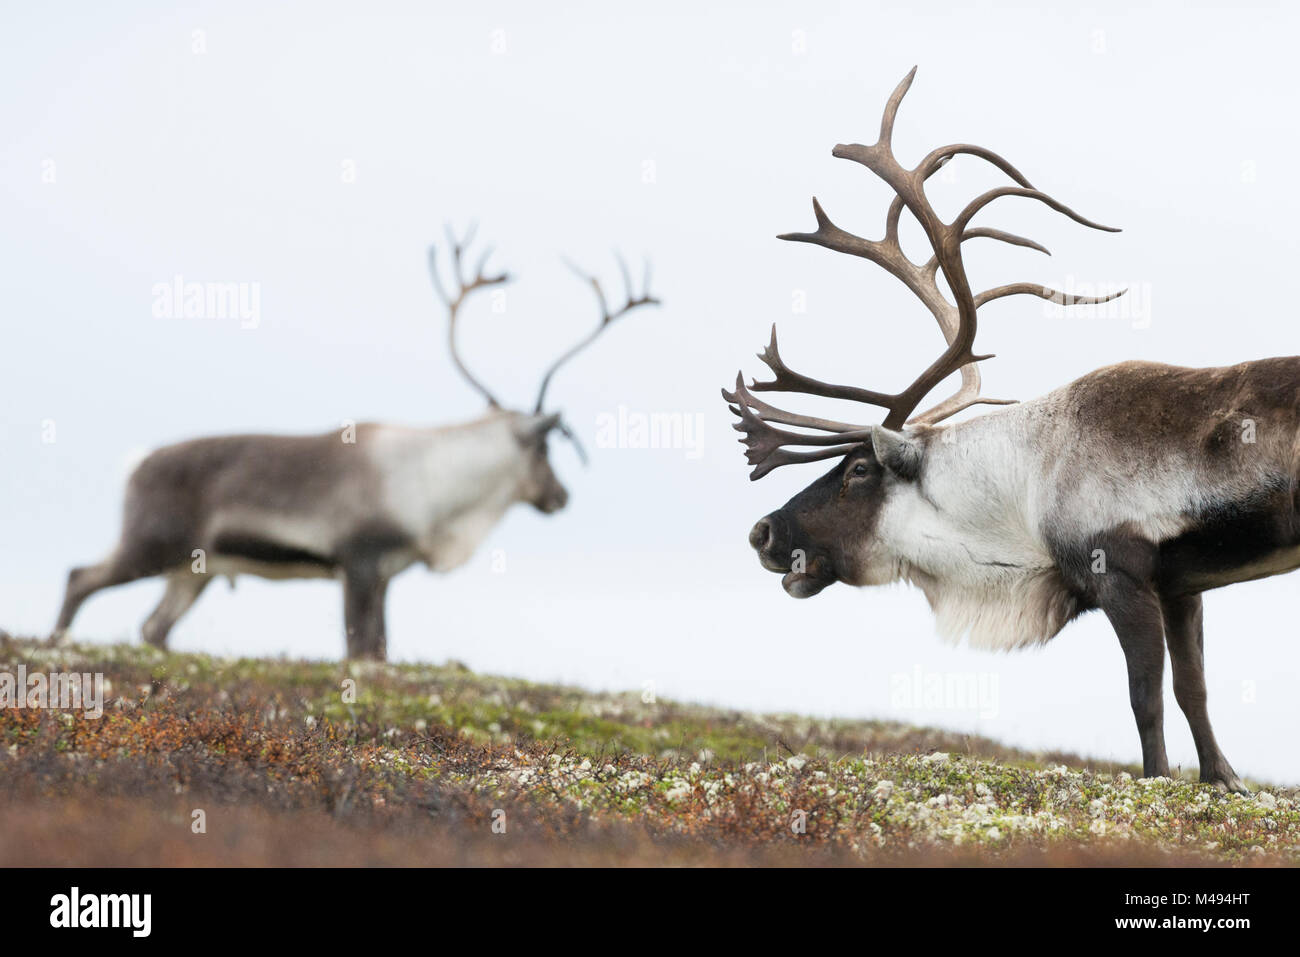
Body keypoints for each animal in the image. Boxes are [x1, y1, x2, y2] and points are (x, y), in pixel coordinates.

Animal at [53, 226, 658, 660]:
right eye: (546, 449)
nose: (562, 497)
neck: (441, 488)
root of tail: (135, 464)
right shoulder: (359, 562)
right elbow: (360, 650)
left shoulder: (386, 574)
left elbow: (381, 650)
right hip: (152, 544)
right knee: (80, 577)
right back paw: (57, 646)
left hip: (192, 571)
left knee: (153, 627)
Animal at [724, 68, 1298, 794]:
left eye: (858, 469)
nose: (763, 532)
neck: (1024, 488)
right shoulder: (1183, 587)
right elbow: (1194, 690)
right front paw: (1223, 780)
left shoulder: (1121, 574)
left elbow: (1145, 697)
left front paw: (1156, 780)